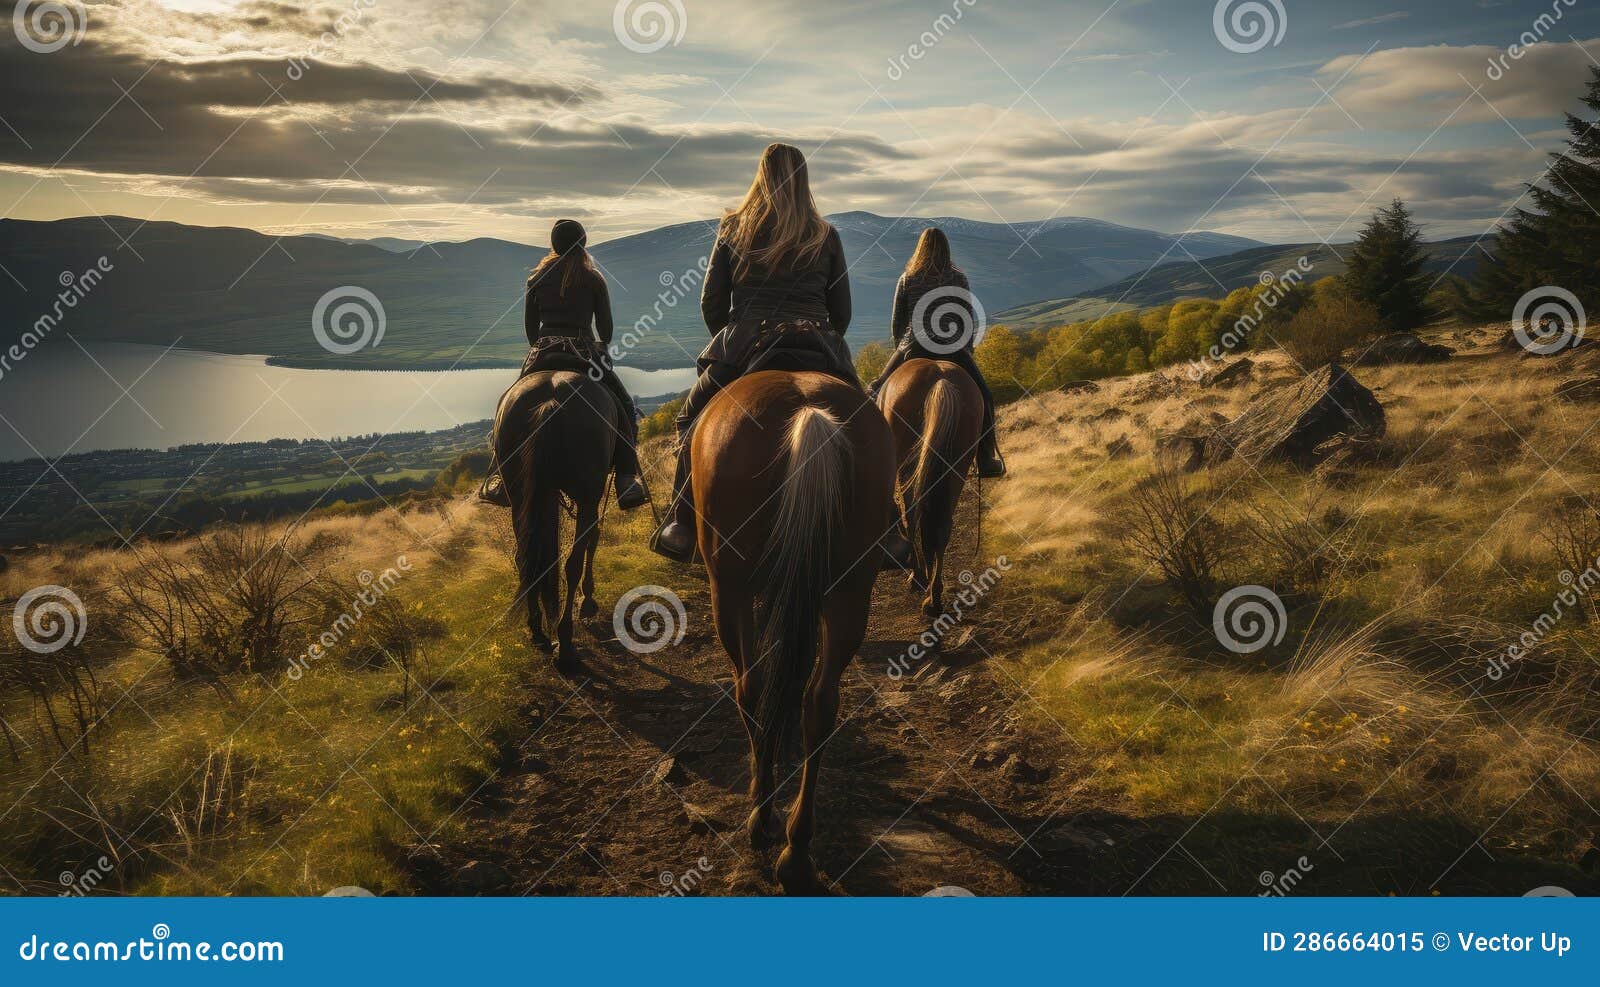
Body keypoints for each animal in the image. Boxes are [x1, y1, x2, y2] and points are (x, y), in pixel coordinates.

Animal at [493, 369, 617, 673]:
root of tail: (550, 399)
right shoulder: (592, 497)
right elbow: (591, 541)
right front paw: (589, 599)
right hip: (587, 495)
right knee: (572, 563)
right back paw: (565, 642)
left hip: (520, 496)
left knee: (525, 559)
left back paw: (537, 631)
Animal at [693, 370, 894, 895]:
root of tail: (807, 410)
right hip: (850, 589)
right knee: (819, 703)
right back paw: (797, 849)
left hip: (730, 588)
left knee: (751, 686)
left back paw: (763, 819)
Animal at [879, 358, 983, 617]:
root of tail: (940, 379)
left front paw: (916, 577)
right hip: (957, 468)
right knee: (941, 527)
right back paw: (934, 597)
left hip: (908, 467)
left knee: (911, 517)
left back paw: (920, 580)